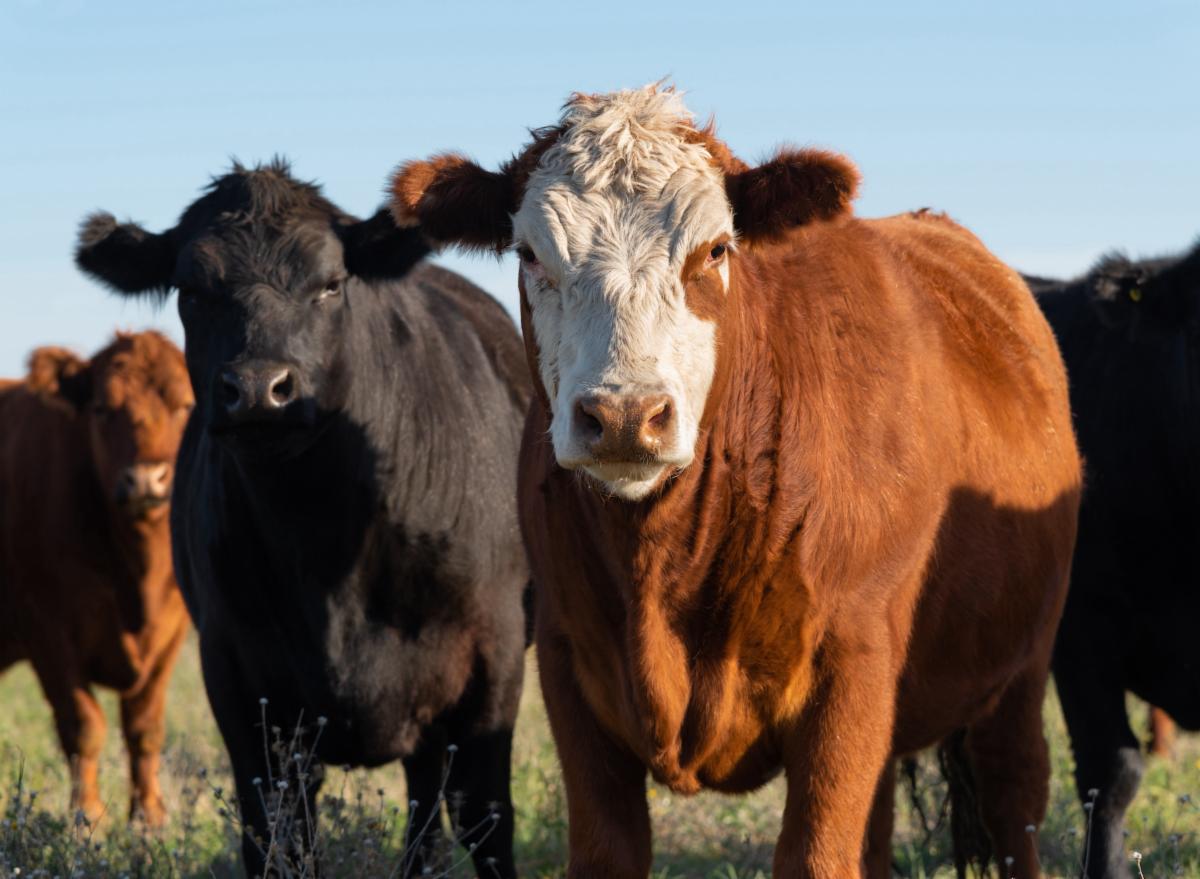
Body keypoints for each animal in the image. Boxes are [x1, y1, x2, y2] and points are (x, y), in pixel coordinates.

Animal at [0, 331, 192, 827]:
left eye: (186, 405)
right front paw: (87, 818)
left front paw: (149, 818)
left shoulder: (172, 632)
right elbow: (83, 726)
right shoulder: (46, 628)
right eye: (103, 408)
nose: (146, 479)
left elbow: (145, 728)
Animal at [74, 161, 531, 878]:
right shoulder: (236, 675)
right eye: (190, 289)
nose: (260, 389)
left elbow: (486, 821)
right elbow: (276, 832)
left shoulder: (495, 655)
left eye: (331, 283)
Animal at [390, 85, 1083, 878]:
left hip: (1021, 668)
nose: (625, 415)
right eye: (530, 253)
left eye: (716, 249)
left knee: (1013, 791)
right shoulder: (568, 664)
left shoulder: (853, 663)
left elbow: (815, 855)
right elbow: (609, 849)